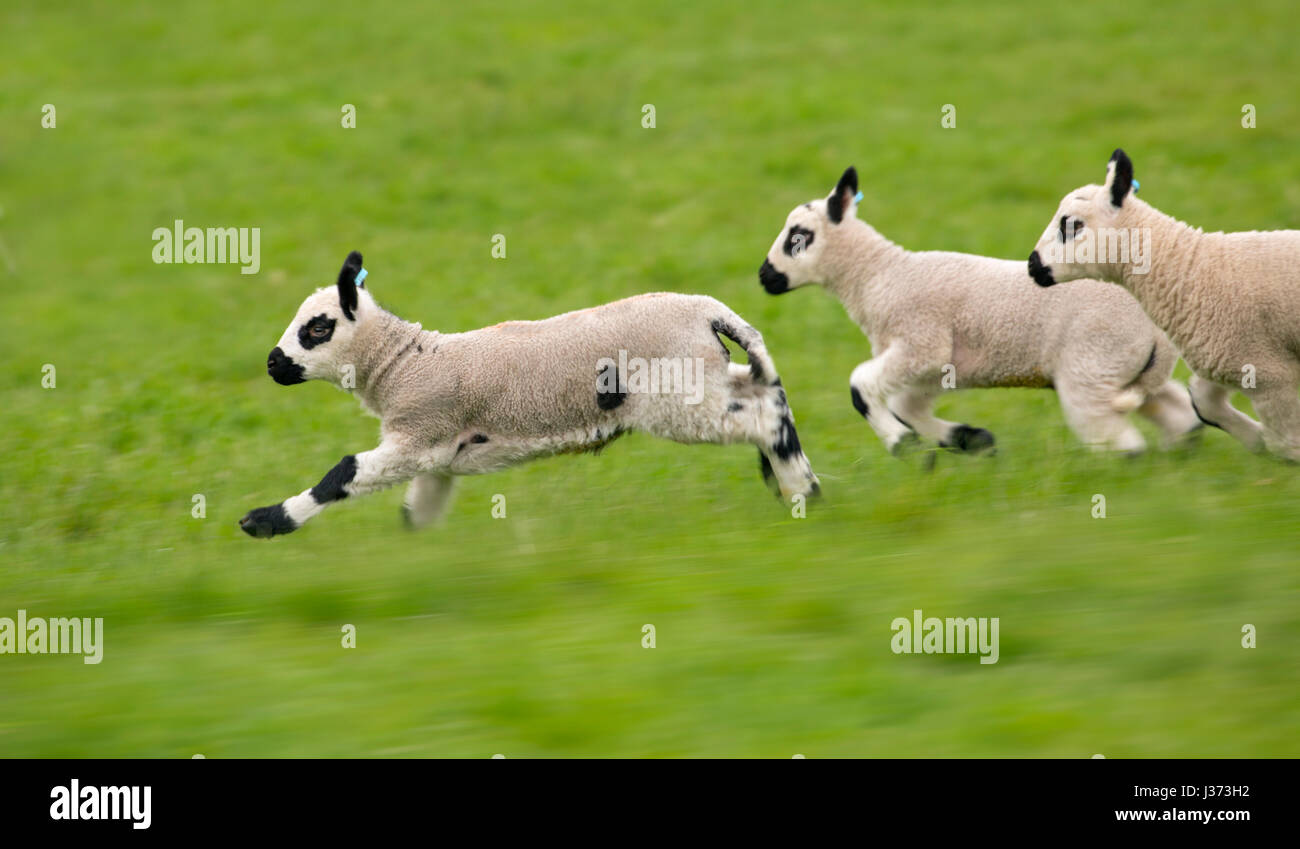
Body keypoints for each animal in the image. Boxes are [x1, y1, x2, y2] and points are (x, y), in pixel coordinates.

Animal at [239, 251, 820, 537]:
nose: (271, 363)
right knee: (768, 394)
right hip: (706, 376)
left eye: (317, 328)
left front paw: (265, 522)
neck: (402, 363)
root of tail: (708, 311)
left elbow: (342, 473)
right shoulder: (437, 456)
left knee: (762, 414)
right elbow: (416, 515)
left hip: (679, 398)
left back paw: (802, 492)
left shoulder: (418, 436)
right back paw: (799, 485)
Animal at [758, 167, 1202, 455]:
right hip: (1130, 371)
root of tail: (1156, 332)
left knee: (1117, 438)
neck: (878, 275)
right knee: (1178, 412)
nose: (765, 276)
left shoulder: (921, 343)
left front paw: (900, 442)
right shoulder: (937, 365)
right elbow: (907, 406)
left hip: (1092, 364)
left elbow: (860, 386)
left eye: (799, 236)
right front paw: (968, 439)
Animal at [1029, 148, 1300, 461]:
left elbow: (1287, 443)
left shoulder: (1269, 371)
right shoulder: (1229, 358)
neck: (1190, 269)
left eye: (1072, 224)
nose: (1032, 265)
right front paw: (1254, 438)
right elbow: (1203, 402)